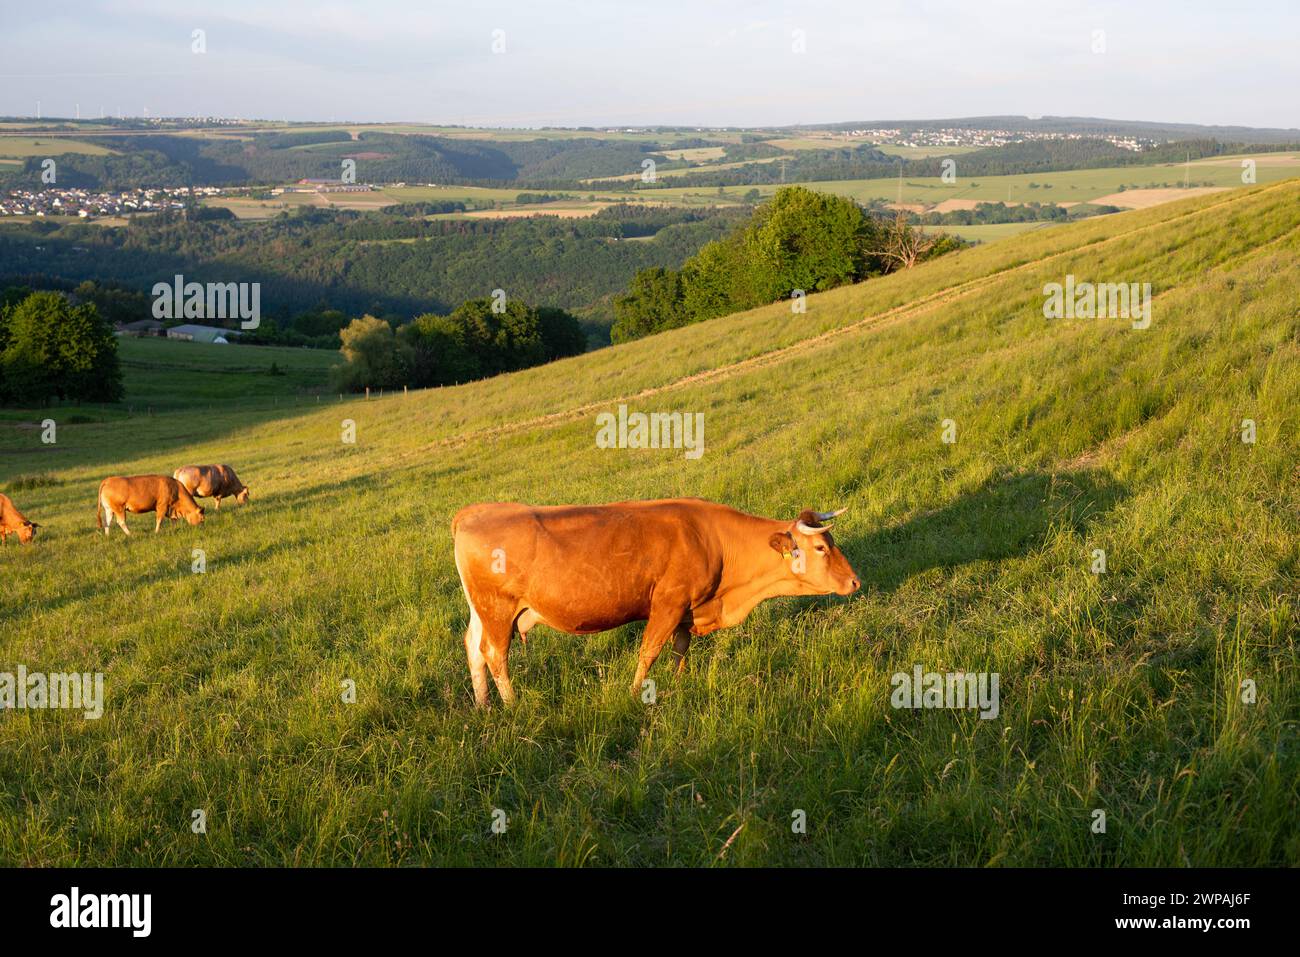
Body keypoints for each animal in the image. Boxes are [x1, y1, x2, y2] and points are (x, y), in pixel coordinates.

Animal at [452, 498, 860, 707]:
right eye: (821, 547)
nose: (855, 581)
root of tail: (471, 512)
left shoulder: (688, 609)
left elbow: (680, 648)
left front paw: (680, 683)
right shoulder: (668, 603)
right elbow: (649, 651)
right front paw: (635, 695)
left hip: (482, 612)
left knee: (473, 648)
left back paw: (484, 706)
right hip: (498, 609)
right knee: (494, 654)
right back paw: (512, 706)